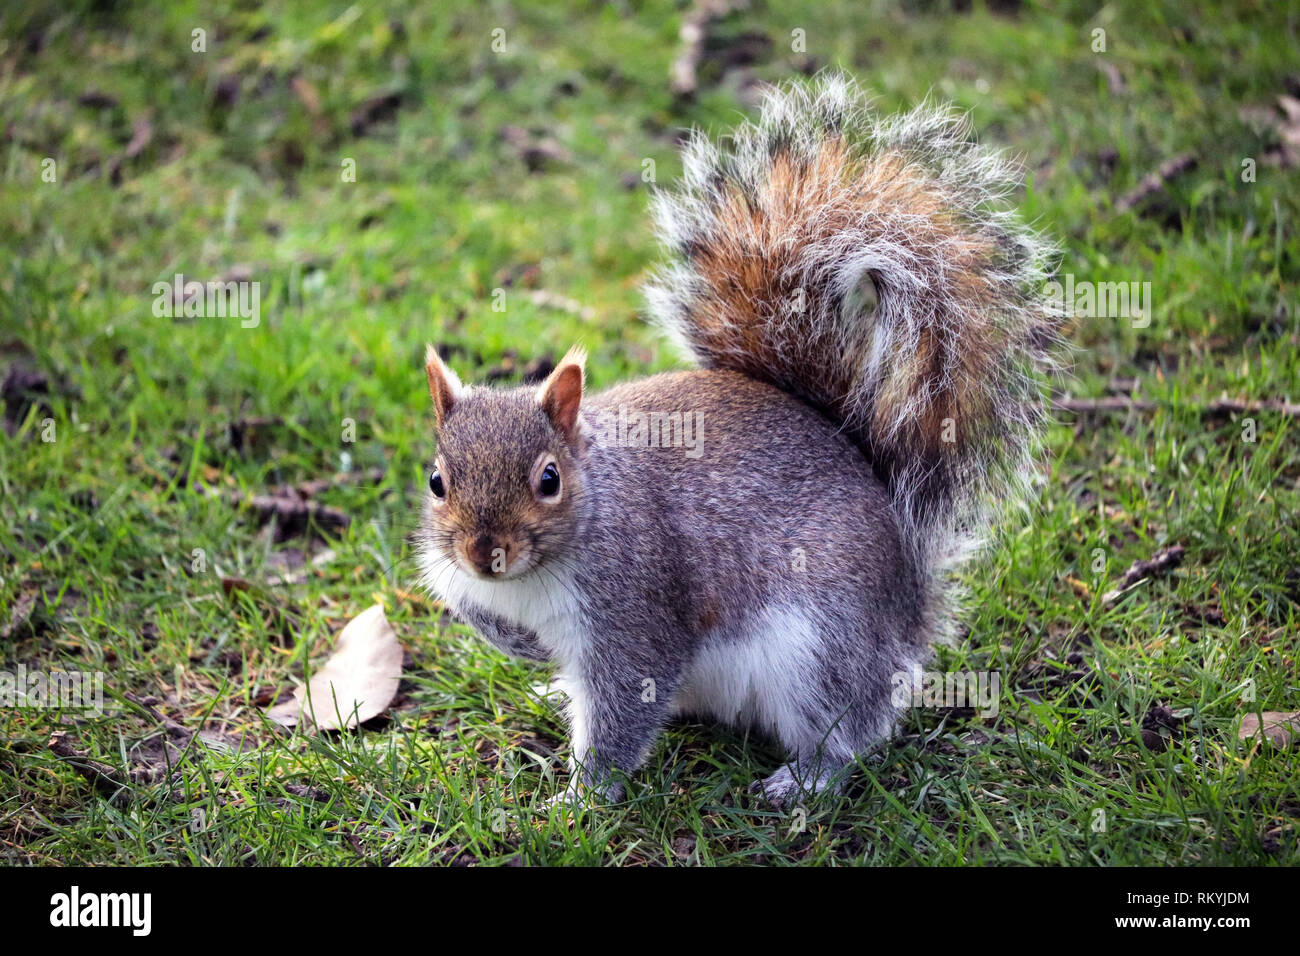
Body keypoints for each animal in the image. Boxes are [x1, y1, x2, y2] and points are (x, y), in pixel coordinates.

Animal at [416, 74, 1058, 807]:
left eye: (549, 480)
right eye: (437, 481)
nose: (485, 552)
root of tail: (907, 596)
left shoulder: (636, 605)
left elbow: (626, 701)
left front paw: (582, 799)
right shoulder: (460, 579)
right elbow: (484, 617)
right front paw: (524, 649)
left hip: (819, 647)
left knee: (854, 724)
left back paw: (806, 779)